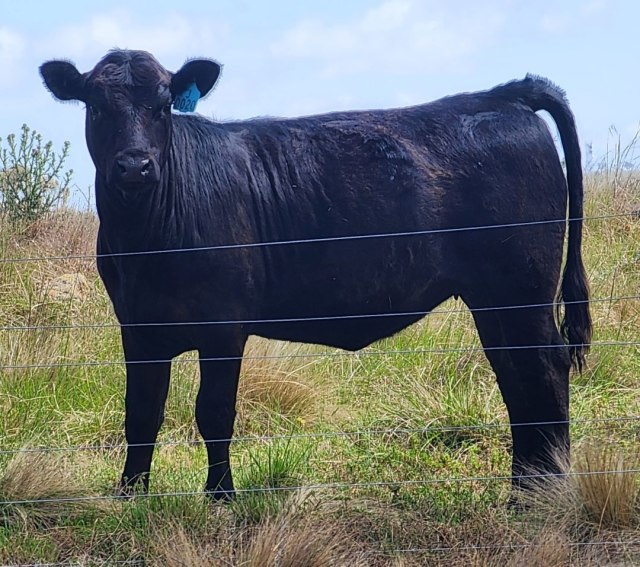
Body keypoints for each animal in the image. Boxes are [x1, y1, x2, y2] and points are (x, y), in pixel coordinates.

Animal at [40, 50, 591, 501]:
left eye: (162, 106)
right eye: (96, 107)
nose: (135, 166)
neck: (146, 239)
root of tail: (503, 95)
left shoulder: (223, 326)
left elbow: (214, 413)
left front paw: (220, 498)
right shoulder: (137, 326)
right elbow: (141, 412)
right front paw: (130, 498)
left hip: (521, 289)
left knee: (543, 367)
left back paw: (541, 493)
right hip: (496, 300)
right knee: (515, 374)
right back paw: (524, 488)